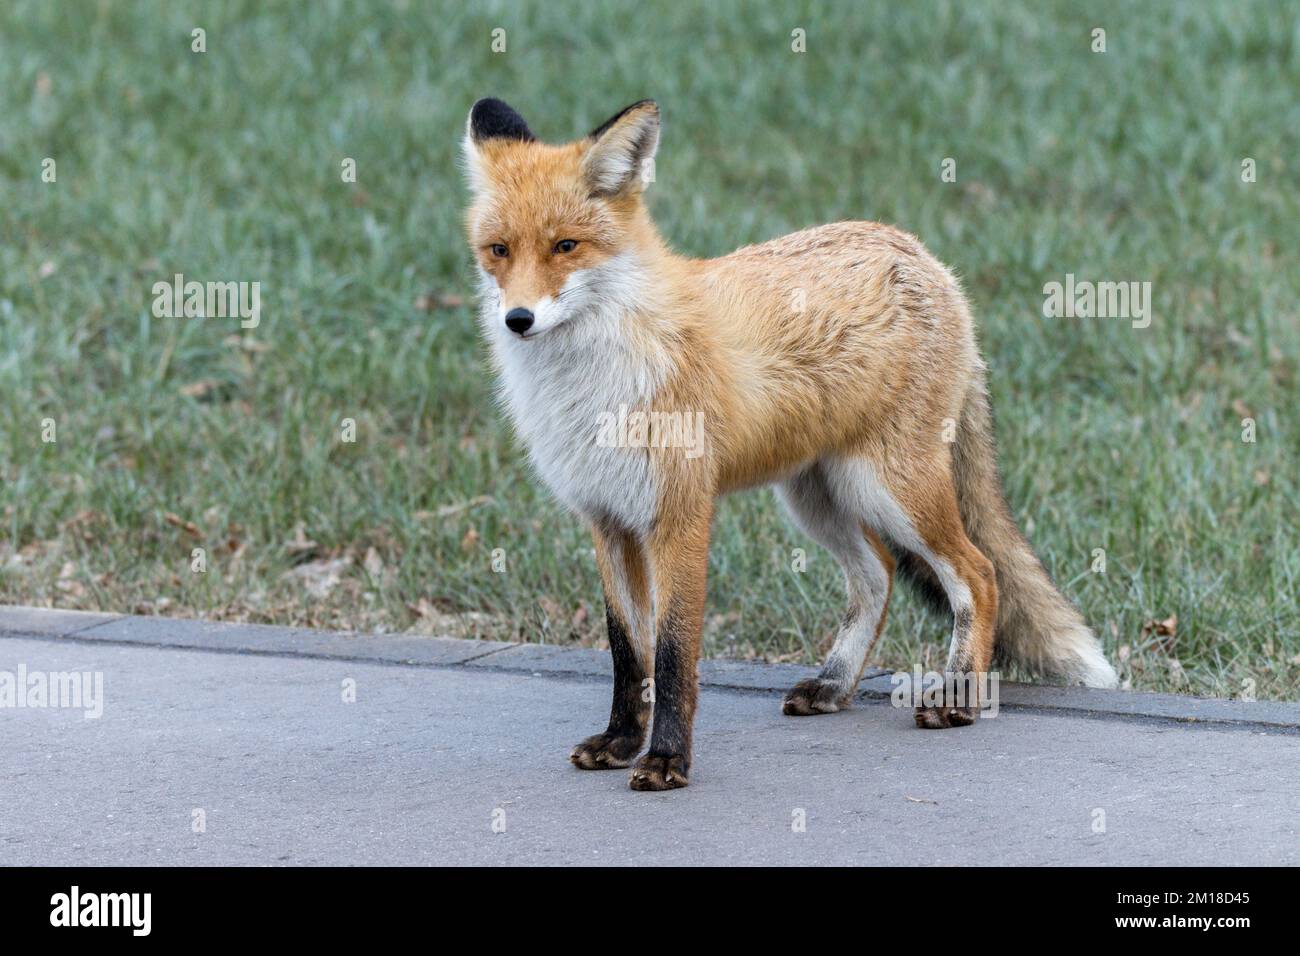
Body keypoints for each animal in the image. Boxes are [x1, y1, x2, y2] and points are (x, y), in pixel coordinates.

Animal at [462, 97, 1118, 791]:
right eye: (499, 251)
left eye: (566, 246)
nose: (518, 319)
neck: (594, 380)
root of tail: (922, 254)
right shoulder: (607, 519)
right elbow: (626, 652)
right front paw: (620, 743)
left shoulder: (679, 515)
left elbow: (671, 653)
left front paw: (666, 760)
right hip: (817, 498)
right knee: (880, 575)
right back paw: (835, 685)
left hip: (891, 489)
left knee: (979, 572)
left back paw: (959, 697)